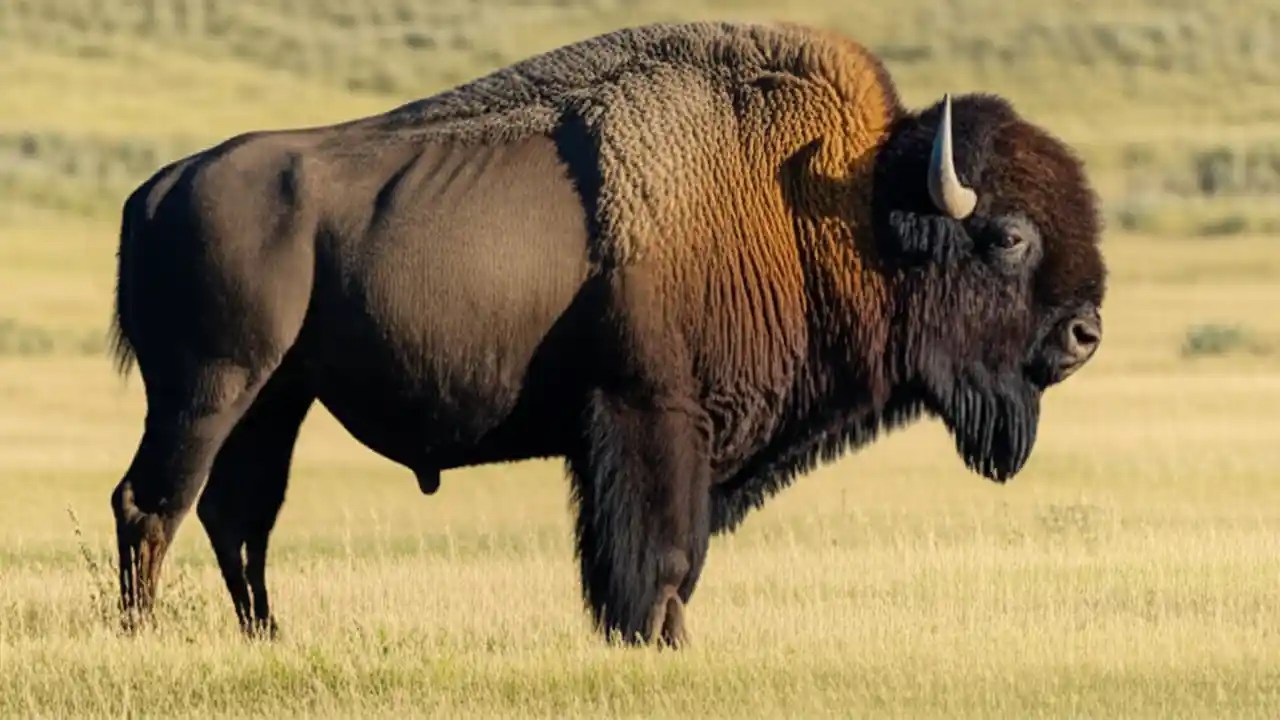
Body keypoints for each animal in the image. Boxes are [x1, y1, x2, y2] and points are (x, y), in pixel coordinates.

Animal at [108, 21, 1106, 645]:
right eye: (1008, 236)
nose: (1084, 334)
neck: (829, 207)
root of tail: (156, 190)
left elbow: (663, 552)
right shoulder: (652, 416)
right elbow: (659, 553)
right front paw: (658, 640)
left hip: (277, 400)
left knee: (237, 517)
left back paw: (266, 636)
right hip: (208, 391)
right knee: (152, 503)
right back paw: (146, 638)